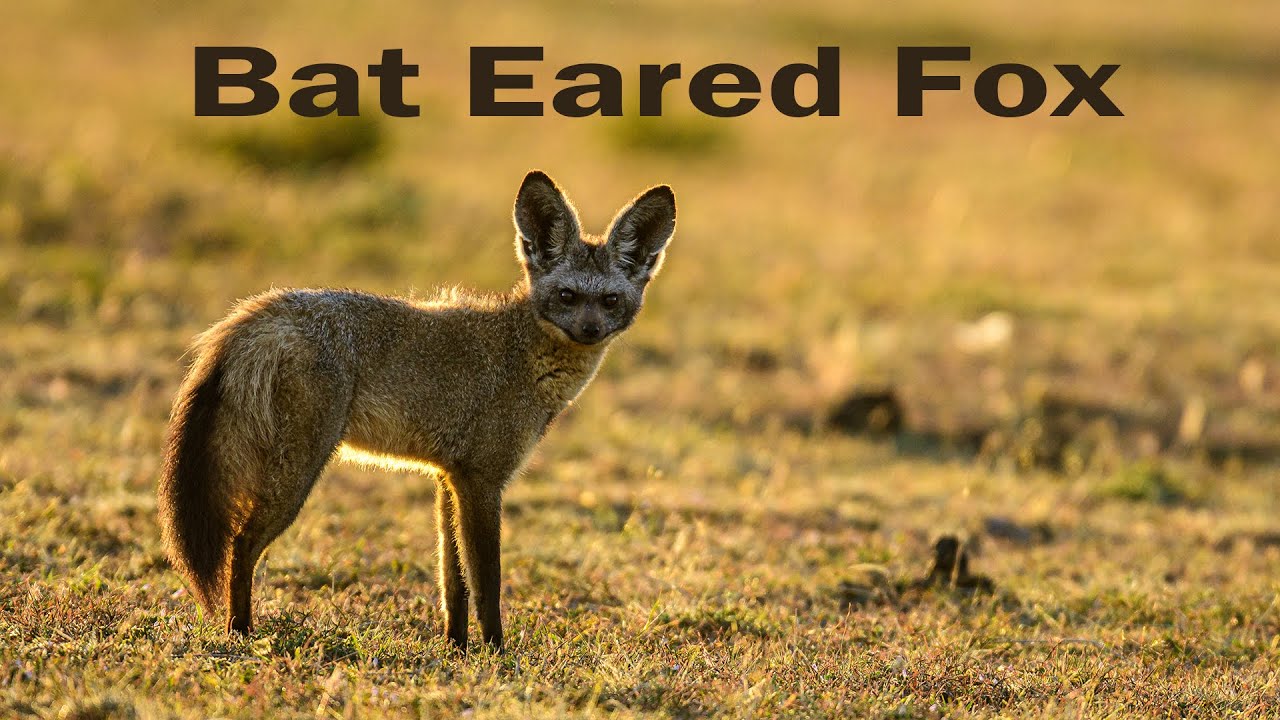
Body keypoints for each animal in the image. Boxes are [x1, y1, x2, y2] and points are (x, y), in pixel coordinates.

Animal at [157, 170, 676, 651]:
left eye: (610, 300)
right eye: (567, 296)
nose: (589, 330)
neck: (522, 353)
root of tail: (262, 308)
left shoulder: (450, 478)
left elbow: (454, 582)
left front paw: (457, 648)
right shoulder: (483, 481)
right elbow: (488, 583)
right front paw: (496, 652)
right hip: (296, 477)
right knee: (240, 545)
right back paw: (240, 632)